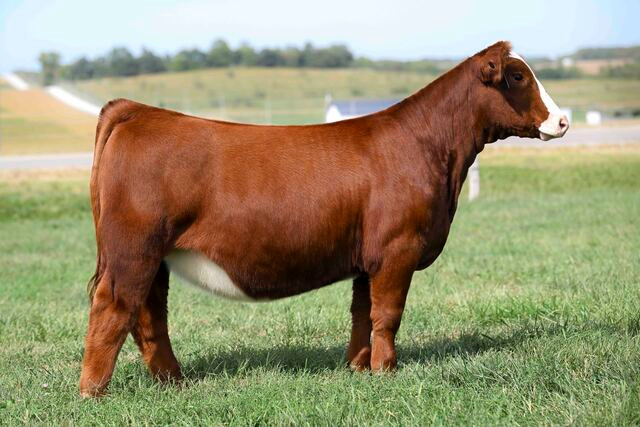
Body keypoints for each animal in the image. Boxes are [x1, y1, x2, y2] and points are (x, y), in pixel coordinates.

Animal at [79, 41, 569, 397]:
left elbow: (362, 312)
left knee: (149, 314)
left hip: (152, 255)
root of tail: (138, 110)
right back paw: (93, 392)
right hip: (132, 250)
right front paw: (387, 372)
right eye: (518, 75)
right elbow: (388, 313)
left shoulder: (369, 257)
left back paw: (172, 383)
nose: (563, 120)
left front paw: (358, 368)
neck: (431, 150)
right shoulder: (398, 248)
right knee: (113, 306)